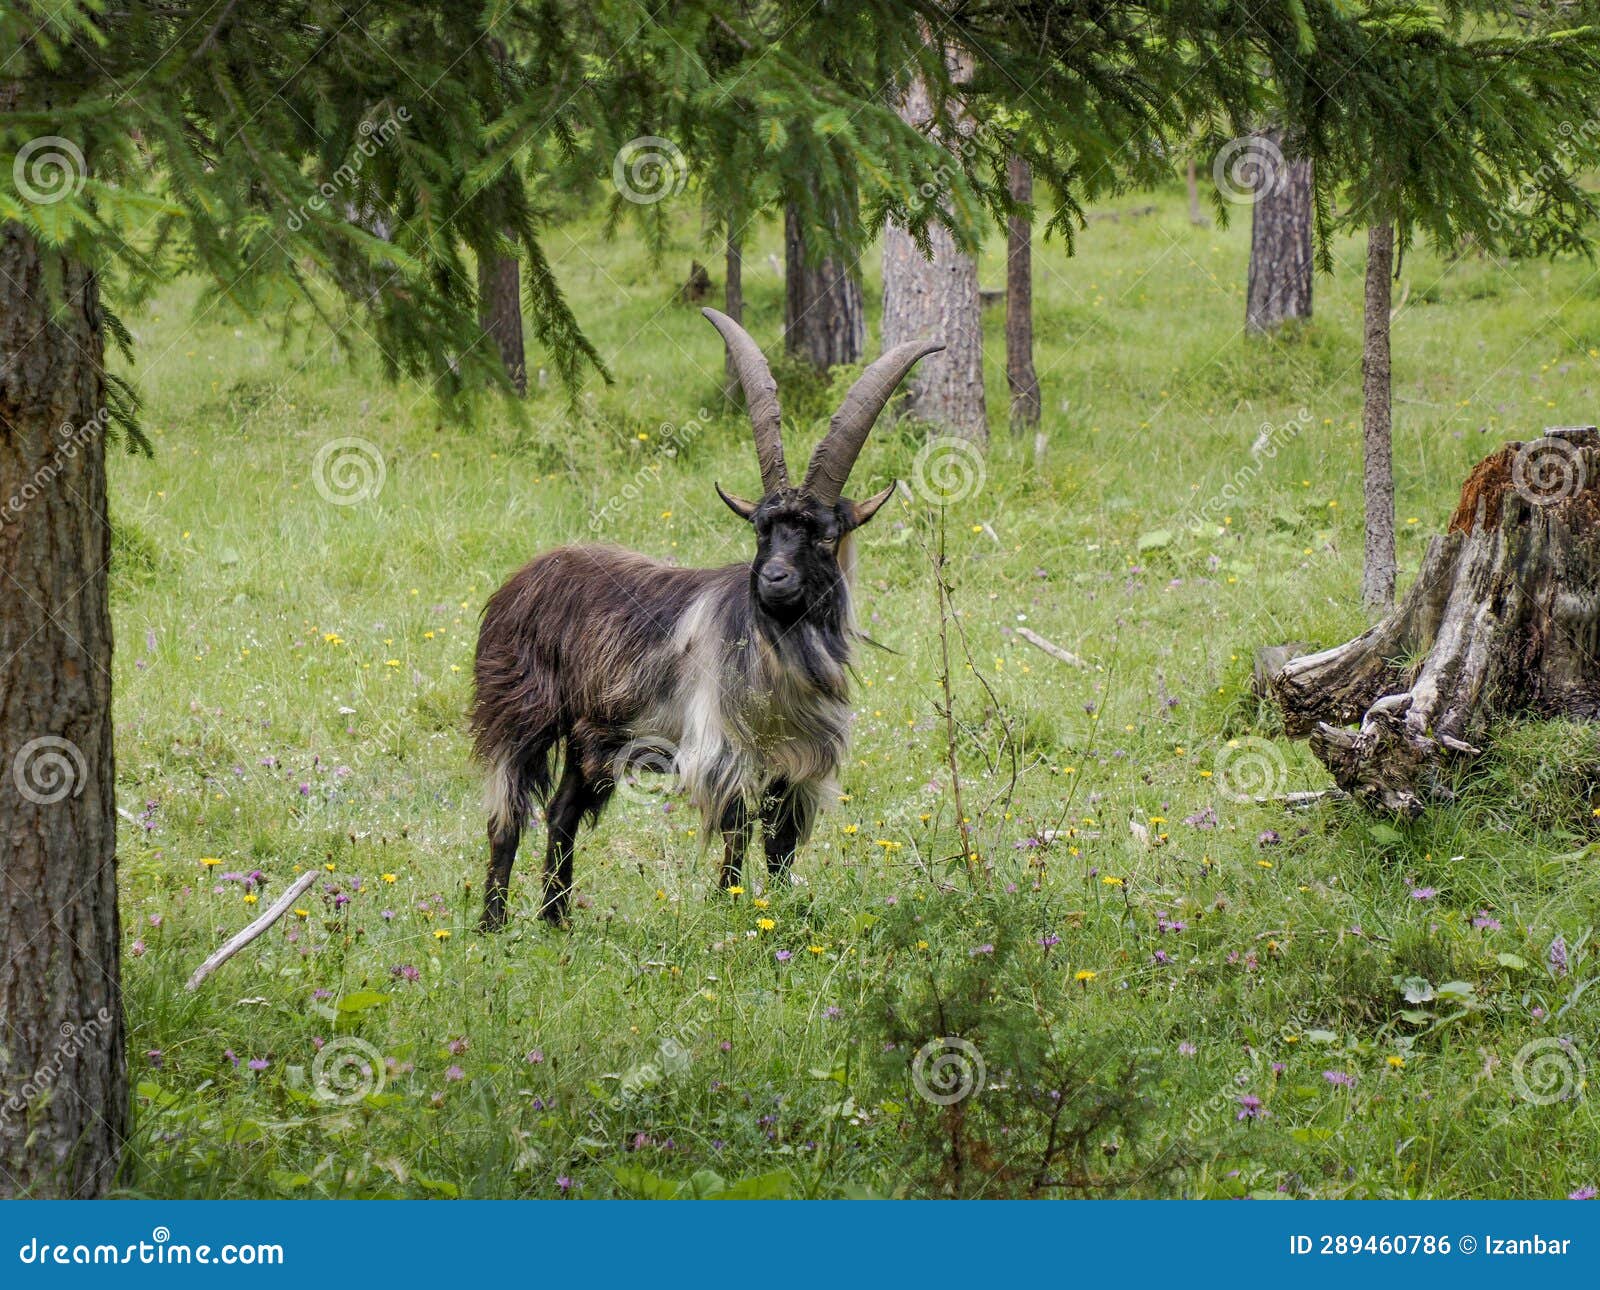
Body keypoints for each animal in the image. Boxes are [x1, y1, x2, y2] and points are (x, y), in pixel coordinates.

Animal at [470, 308, 941, 927]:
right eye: (762, 528)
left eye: (826, 534)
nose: (774, 580)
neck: (776, 659)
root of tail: (518, 583)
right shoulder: (723, 751)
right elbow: (738, 833)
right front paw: (732, 907)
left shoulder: (796, 767)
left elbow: (780, 846)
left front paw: (776, 910)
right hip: (518, 712)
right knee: (506, 813)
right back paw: (493, 925)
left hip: (591, 734)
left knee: (561, 811)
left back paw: (556, 920)